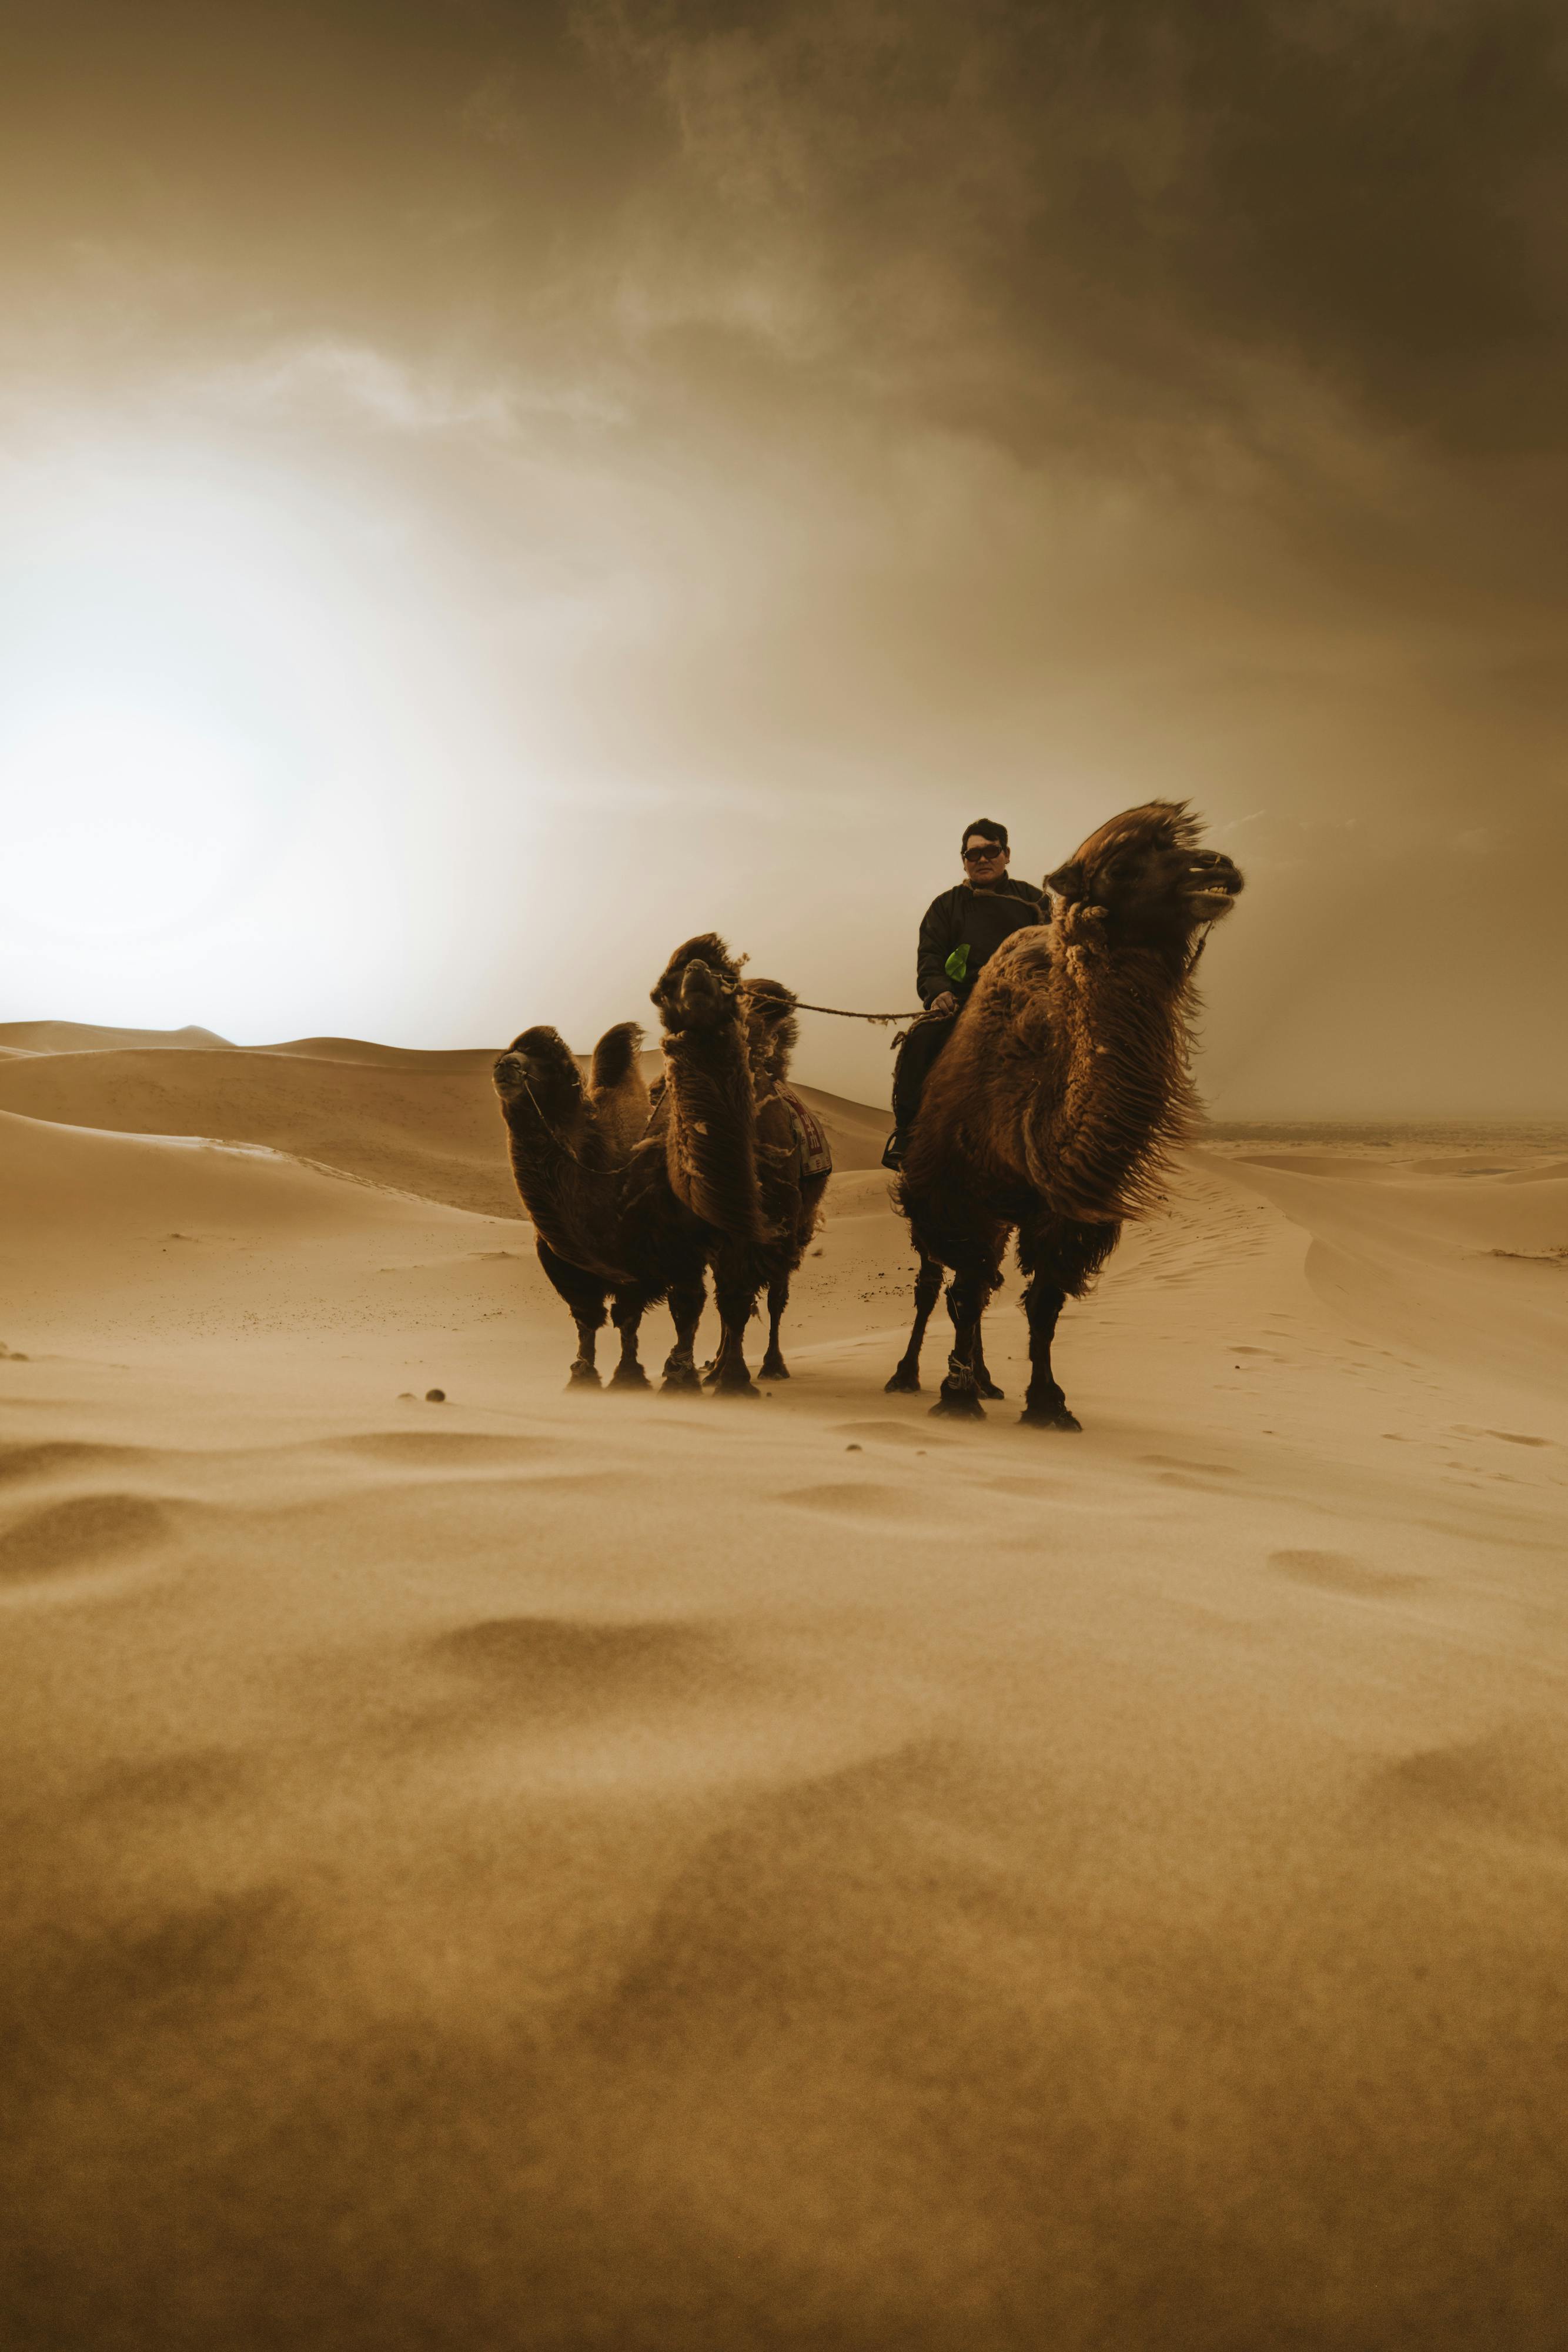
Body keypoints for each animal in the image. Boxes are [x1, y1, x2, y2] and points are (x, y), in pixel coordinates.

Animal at [886, 801, 1243, 1427]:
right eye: (1122, 867)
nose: (1218, 868)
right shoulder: (954, 1193)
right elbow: (962, 1292)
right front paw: (954, 1396)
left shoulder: (1063, 1217)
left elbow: (1043, 1305)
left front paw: (1047, 1403)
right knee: (936, 1285)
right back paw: (909, 1376)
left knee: (979, 1287)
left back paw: (986, 1380)